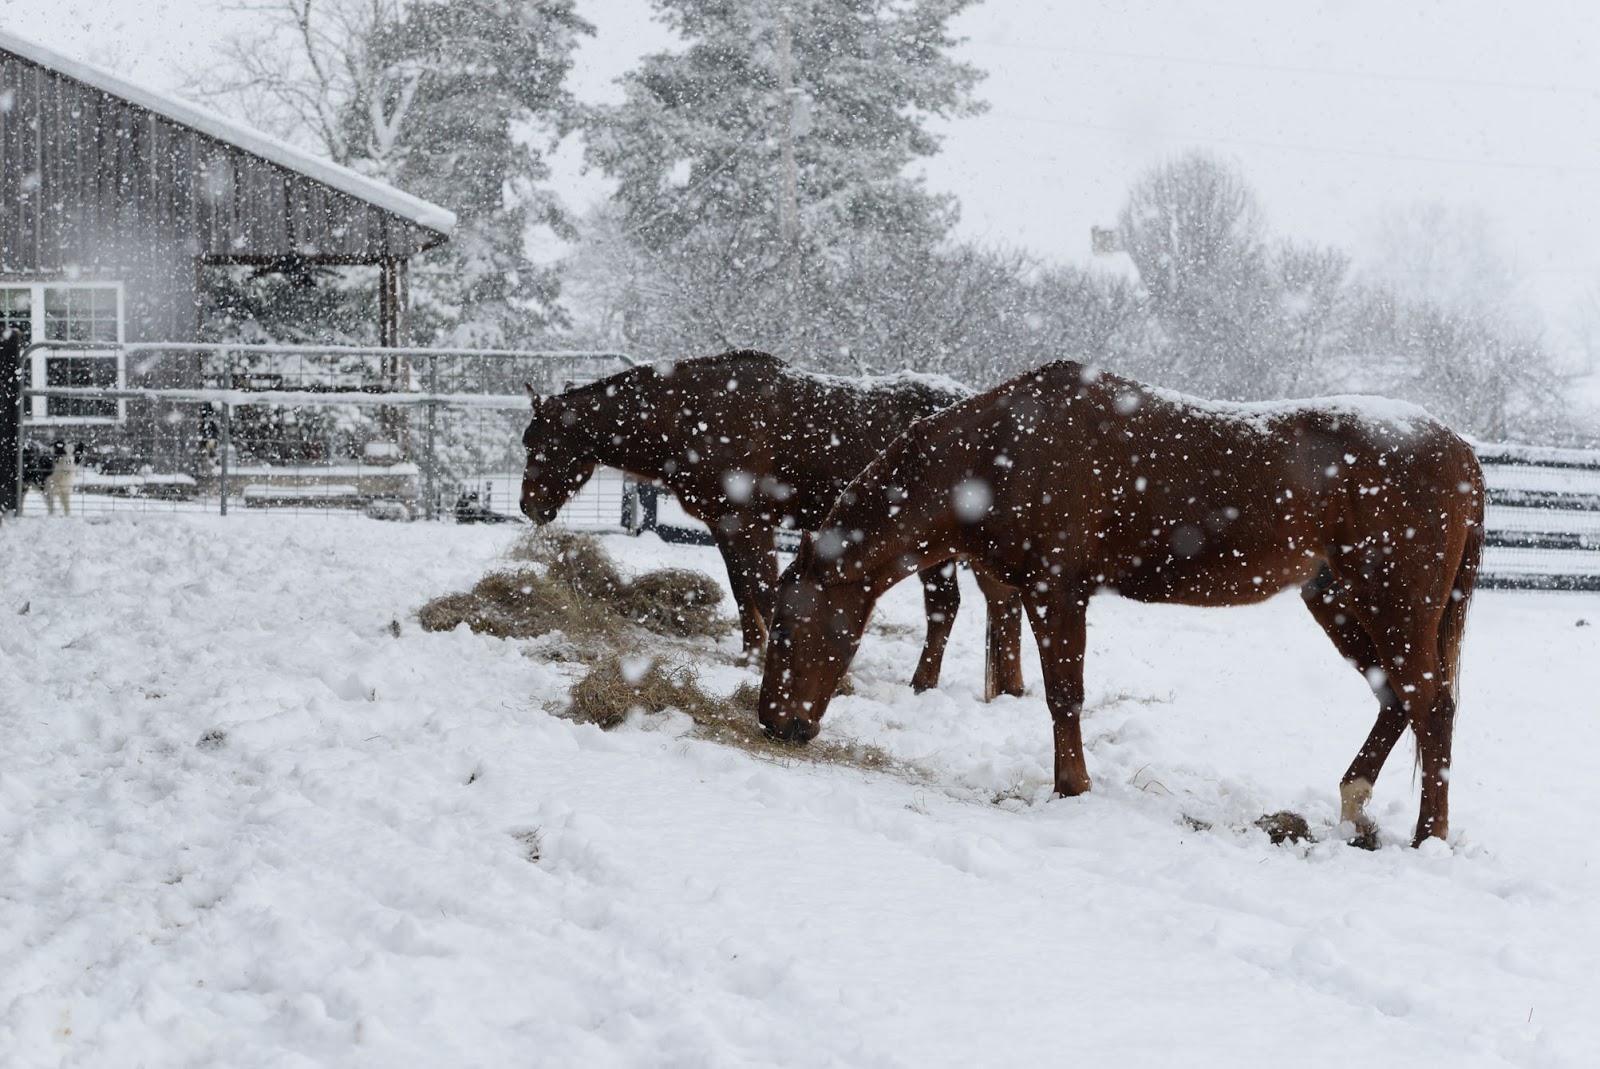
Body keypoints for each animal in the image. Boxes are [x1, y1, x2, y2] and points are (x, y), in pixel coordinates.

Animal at [519, 349, 1027, 697]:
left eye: (540, 443)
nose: (529, 507)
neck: (696, 413)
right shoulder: (724, 525)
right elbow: (742, 589)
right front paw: (750, 652)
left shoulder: (751, 522)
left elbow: (763, 588)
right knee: (999, 603)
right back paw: (1007, 687)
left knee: (947, 606)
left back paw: (924, 682)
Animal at [758, 359, 1485, 847]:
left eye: (790, 624)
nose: (773, 722)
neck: (1005, 451)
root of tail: (1462, 452)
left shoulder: (1057, 591)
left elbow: (1064, 694)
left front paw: (1072, 788)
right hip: (1336, 600)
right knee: (1398, 699)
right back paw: (1355, 806)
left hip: (1392, 604)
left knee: (1431, 705)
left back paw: (1428, 836)